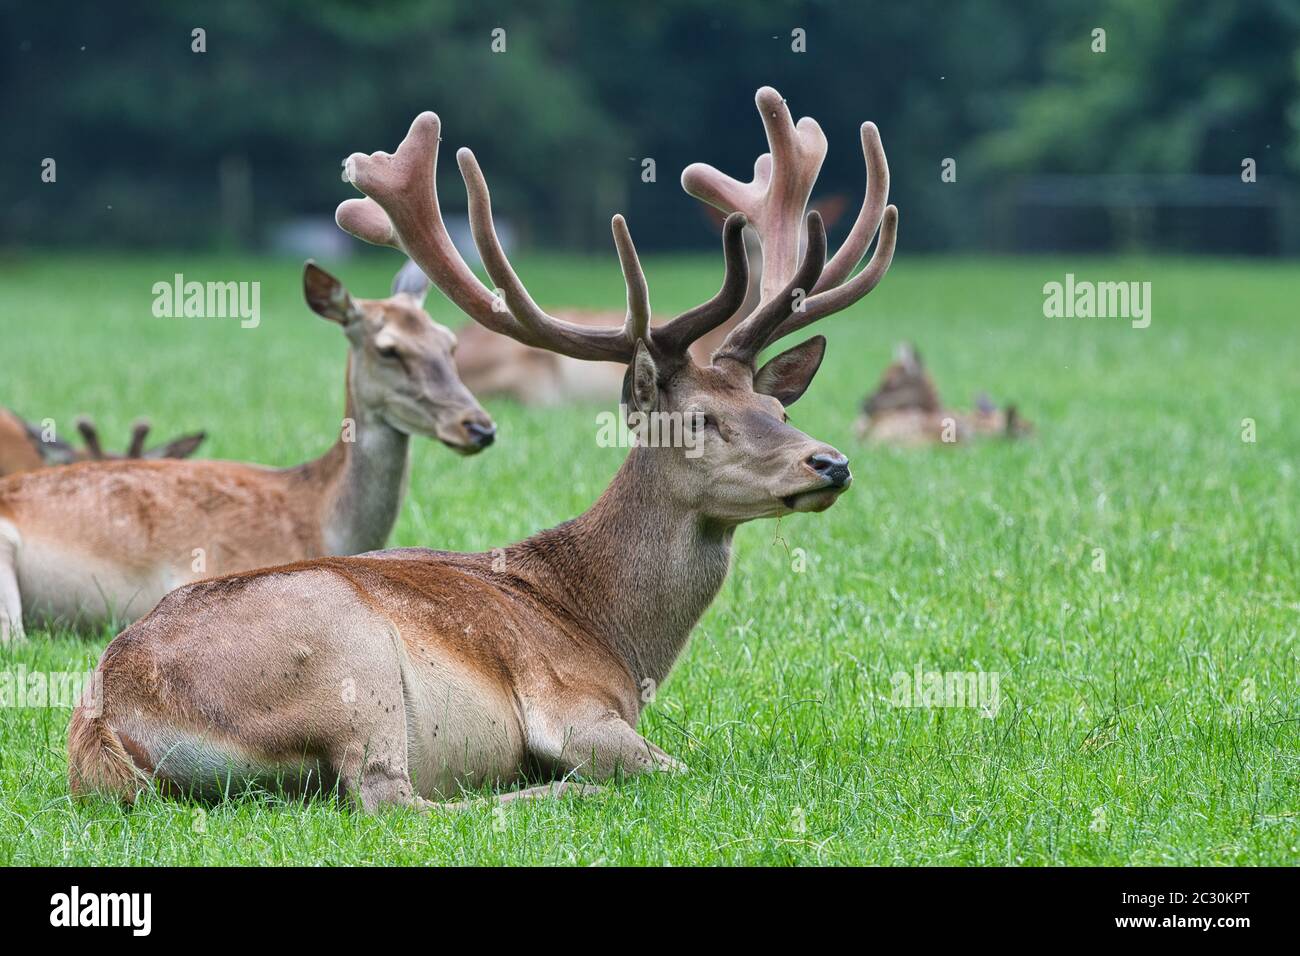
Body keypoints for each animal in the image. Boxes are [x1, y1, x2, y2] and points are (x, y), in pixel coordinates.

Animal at [67, 86, 897, 812]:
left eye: (775, 406)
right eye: (697, 421)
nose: (831, 462)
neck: (612, 636)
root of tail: (103, 726)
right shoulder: (573, 706)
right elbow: (683, 769)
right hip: (348, 661)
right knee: (391, 798)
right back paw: (555, 793)